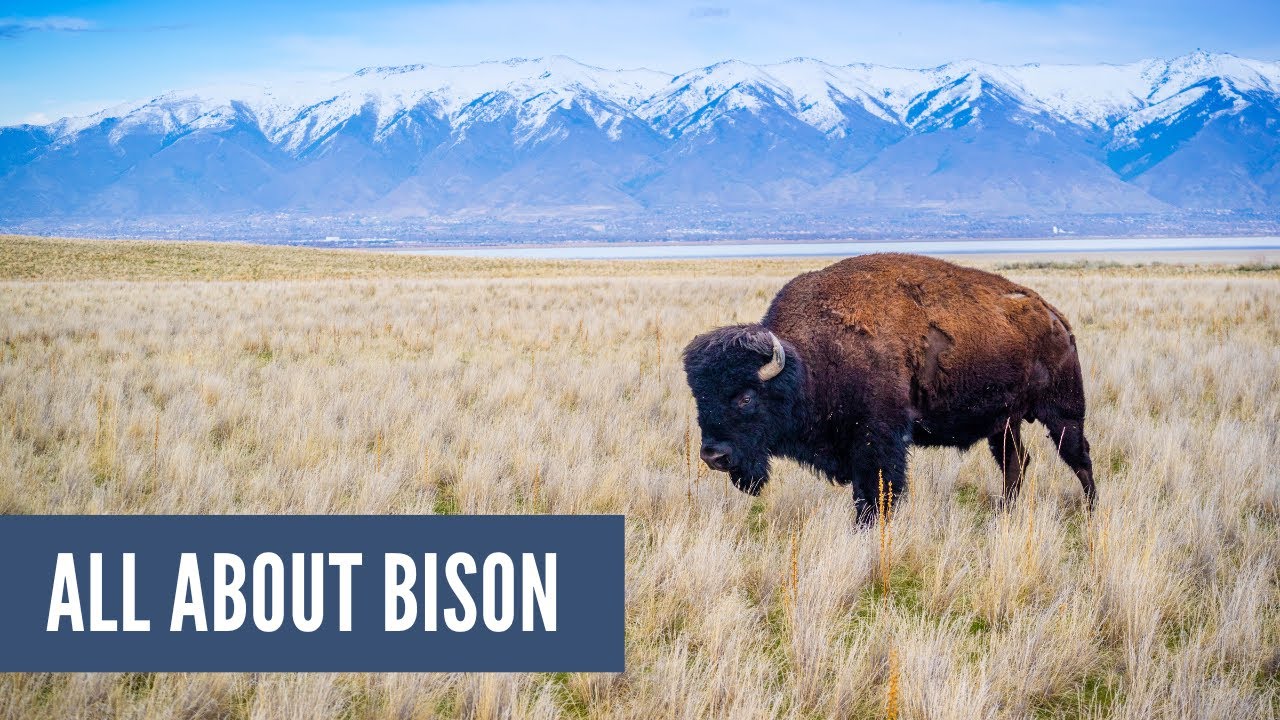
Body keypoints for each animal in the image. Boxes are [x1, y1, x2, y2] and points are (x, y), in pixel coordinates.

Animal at [682, 253, 1095, 518]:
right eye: (700, 398)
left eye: (745, 397)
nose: (713, 456)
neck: (809, 361)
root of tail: (1055, 317)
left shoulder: (878, 441)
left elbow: (877, 494)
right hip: (1004, 423)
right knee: (1016, 463)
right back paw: (1004, 513)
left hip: (1063, 413)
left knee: (1079, 459)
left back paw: (1091, 512)